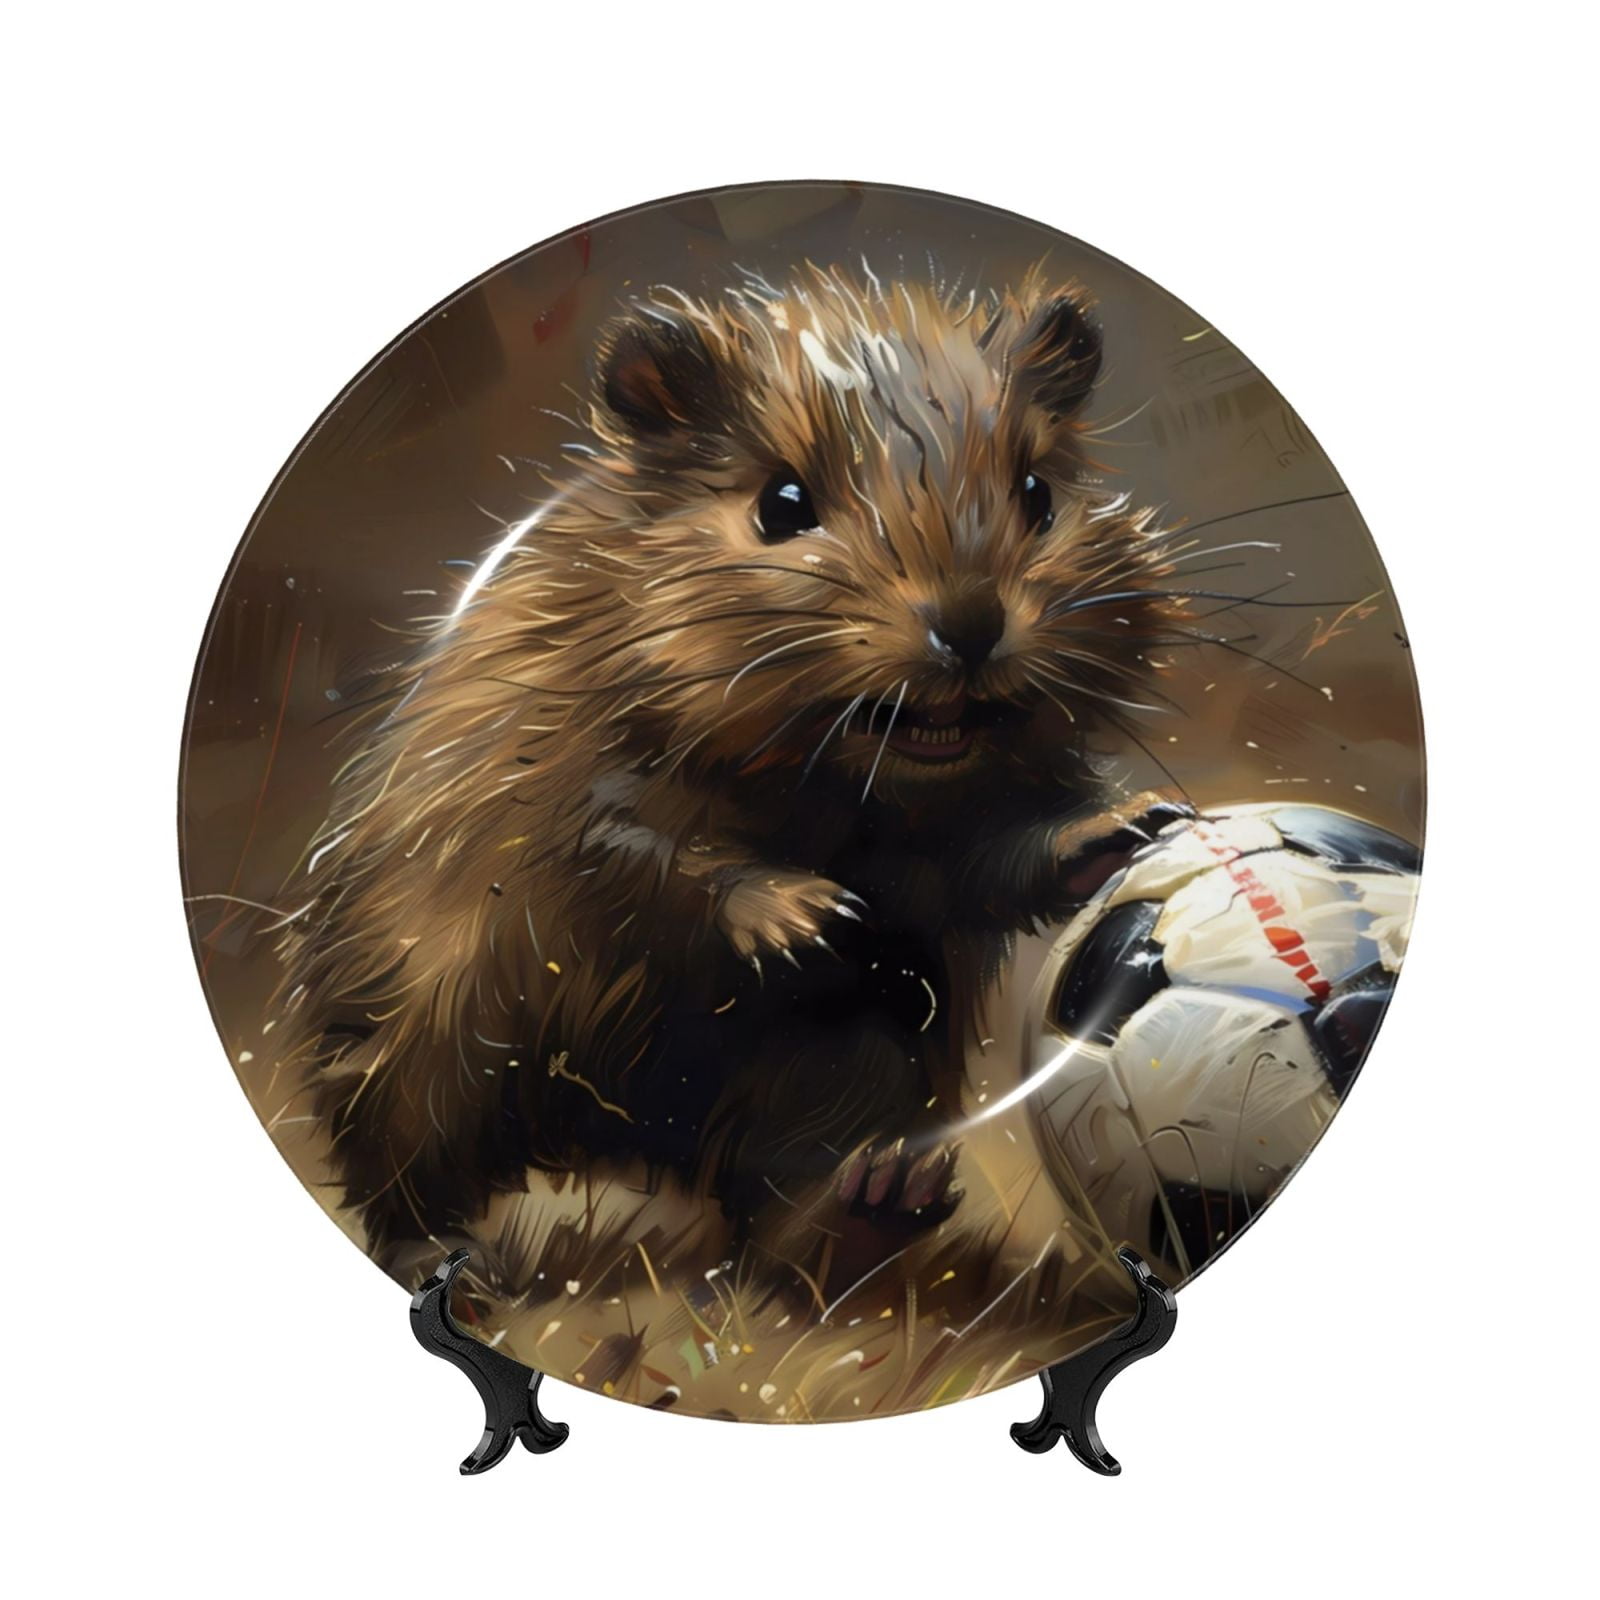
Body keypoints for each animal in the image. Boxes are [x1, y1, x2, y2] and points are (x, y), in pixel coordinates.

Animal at [277, 263, 1188, 1259]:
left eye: (1037, 491)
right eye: (780, 505)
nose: (971, 626)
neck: (838, 778)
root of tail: (634, 1165)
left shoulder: (962, 823)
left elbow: (1007, 855)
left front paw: (1129, 825)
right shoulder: (557, 777)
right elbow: (646, 861)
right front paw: (804, 915)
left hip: (852, 1059)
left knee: (782, 1213)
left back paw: (880, 1192)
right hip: (424, 1044)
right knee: (409, 1181)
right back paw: (451, 1249)